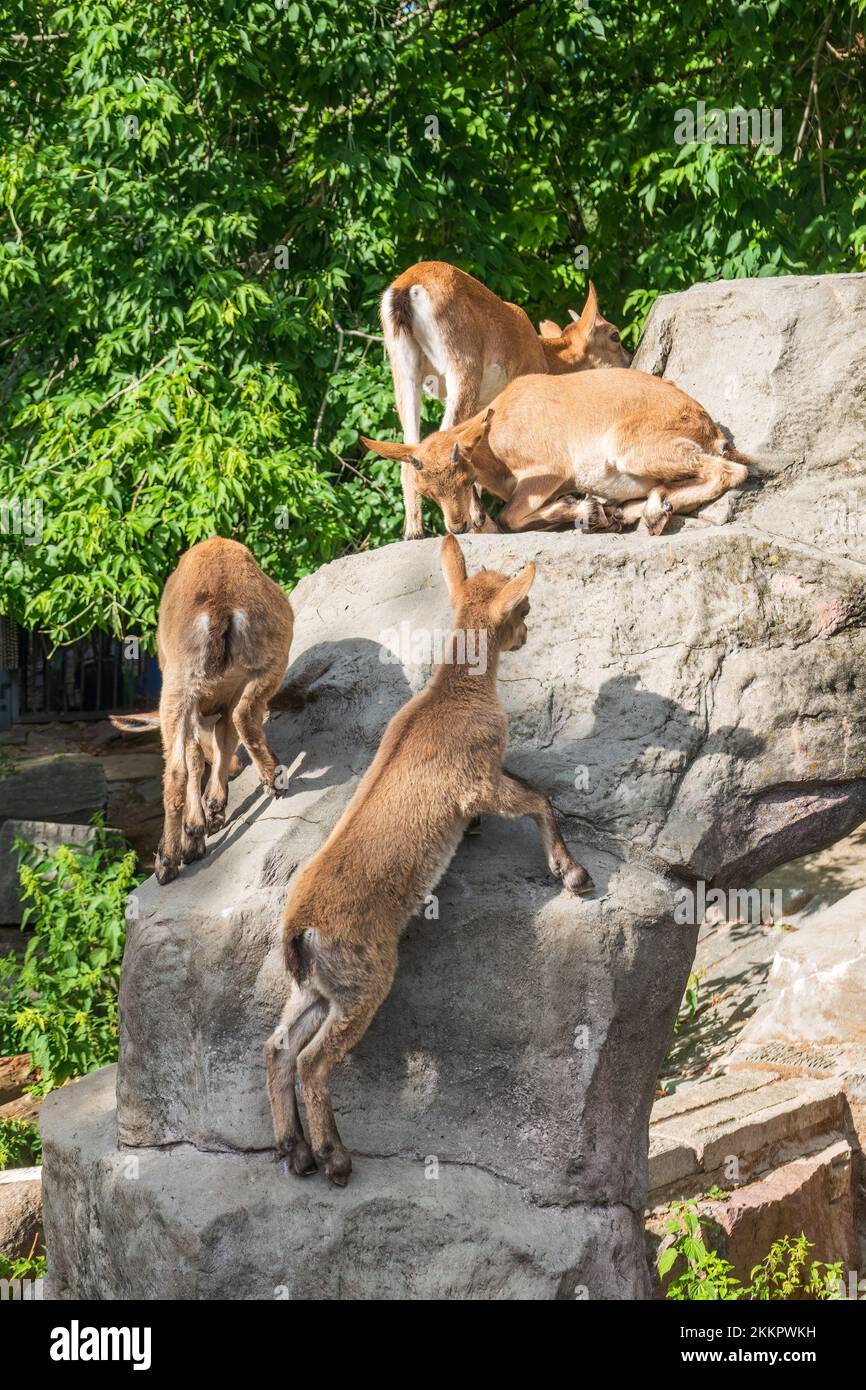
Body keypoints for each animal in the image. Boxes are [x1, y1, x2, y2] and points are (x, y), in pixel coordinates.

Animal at [110, 537, 293, 885]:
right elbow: (218, 742)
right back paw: (270, 779)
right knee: (240, 718)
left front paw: (196, 831)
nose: (236, 768)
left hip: (179, 686)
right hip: (267, 662)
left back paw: (167, 859)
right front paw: (210, 814)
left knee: (178, 770)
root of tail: (221, 606)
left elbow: (197, 754)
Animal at [265, 535, 592, 1186]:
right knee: (312, 1061)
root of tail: (300, 931)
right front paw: (572, 873)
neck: (455, 692)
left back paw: (295, 1150)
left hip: (316, 988)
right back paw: (334, 1159)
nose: (527, 632)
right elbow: (538, 798)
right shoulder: (479, 781)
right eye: (523, 606)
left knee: (278, 1047)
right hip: (365, 981)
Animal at [362, 368, 751, 538]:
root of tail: (710, 429)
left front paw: (581, 510)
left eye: (463, 476)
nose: (456, 526)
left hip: (631, 446)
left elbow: (509, 517)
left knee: (731, 471)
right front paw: (591, 512)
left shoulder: (547, 471)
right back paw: (634, 512)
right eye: (426, 491)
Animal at [380, 260, 629, 538]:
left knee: (410, 447)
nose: (629, 362)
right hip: (463, 368)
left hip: (403, 371)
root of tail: (407, 288)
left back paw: (414, 531)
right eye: (615, 335)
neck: (545, 354)